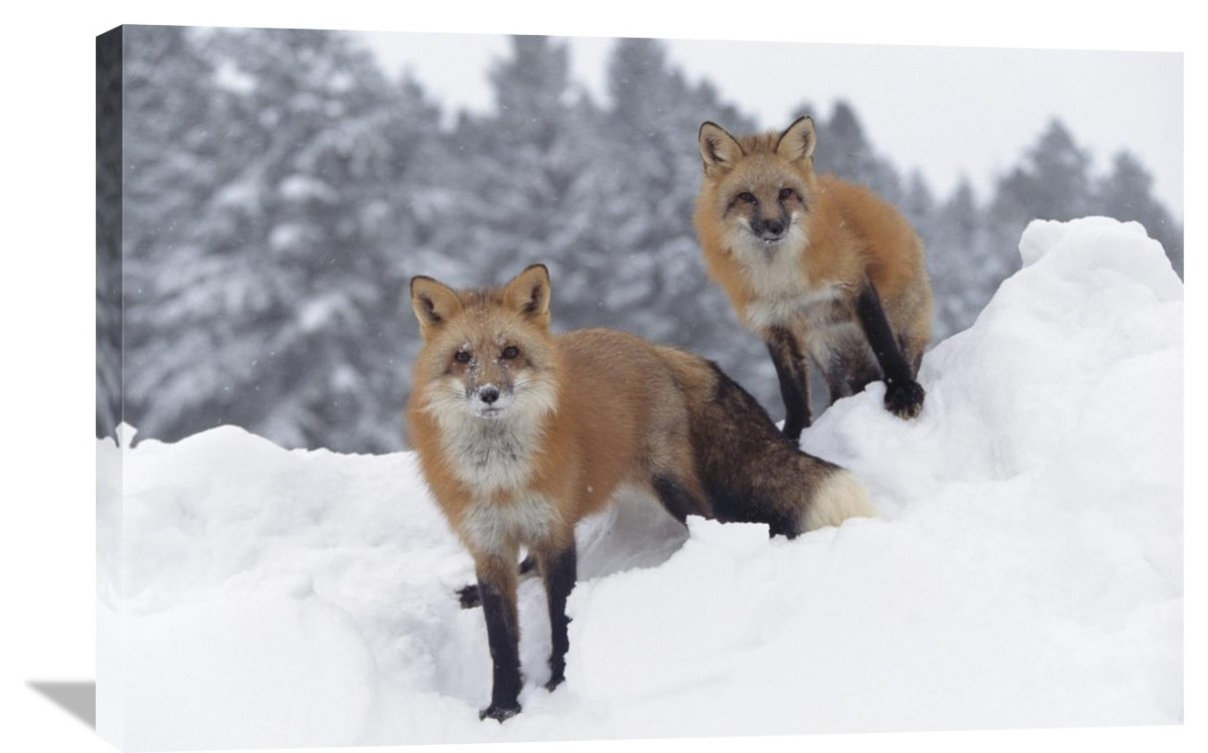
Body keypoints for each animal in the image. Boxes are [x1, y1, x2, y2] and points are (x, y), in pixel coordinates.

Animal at [406, 264, 874, 722]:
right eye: (463, 357)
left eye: (510, 353)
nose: (488, 393)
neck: (501, 478)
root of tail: (652, 347)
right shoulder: (489, 544)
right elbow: (501, 642)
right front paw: (503, 707)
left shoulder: (556, 534)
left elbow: (561, 619)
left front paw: (559, 684)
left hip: (670, 486)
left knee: (714, 523)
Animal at [694, 115, 933, 441]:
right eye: (747, 197)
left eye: (785, 193)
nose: (774, 226)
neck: (781, 279)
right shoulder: (773, 323)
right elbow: (791, 390)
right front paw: (793, 434)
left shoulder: (853, 283)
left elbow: (884, 345)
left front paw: (903, 392)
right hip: (830, 351)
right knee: (841, 390)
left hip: (899, 325)